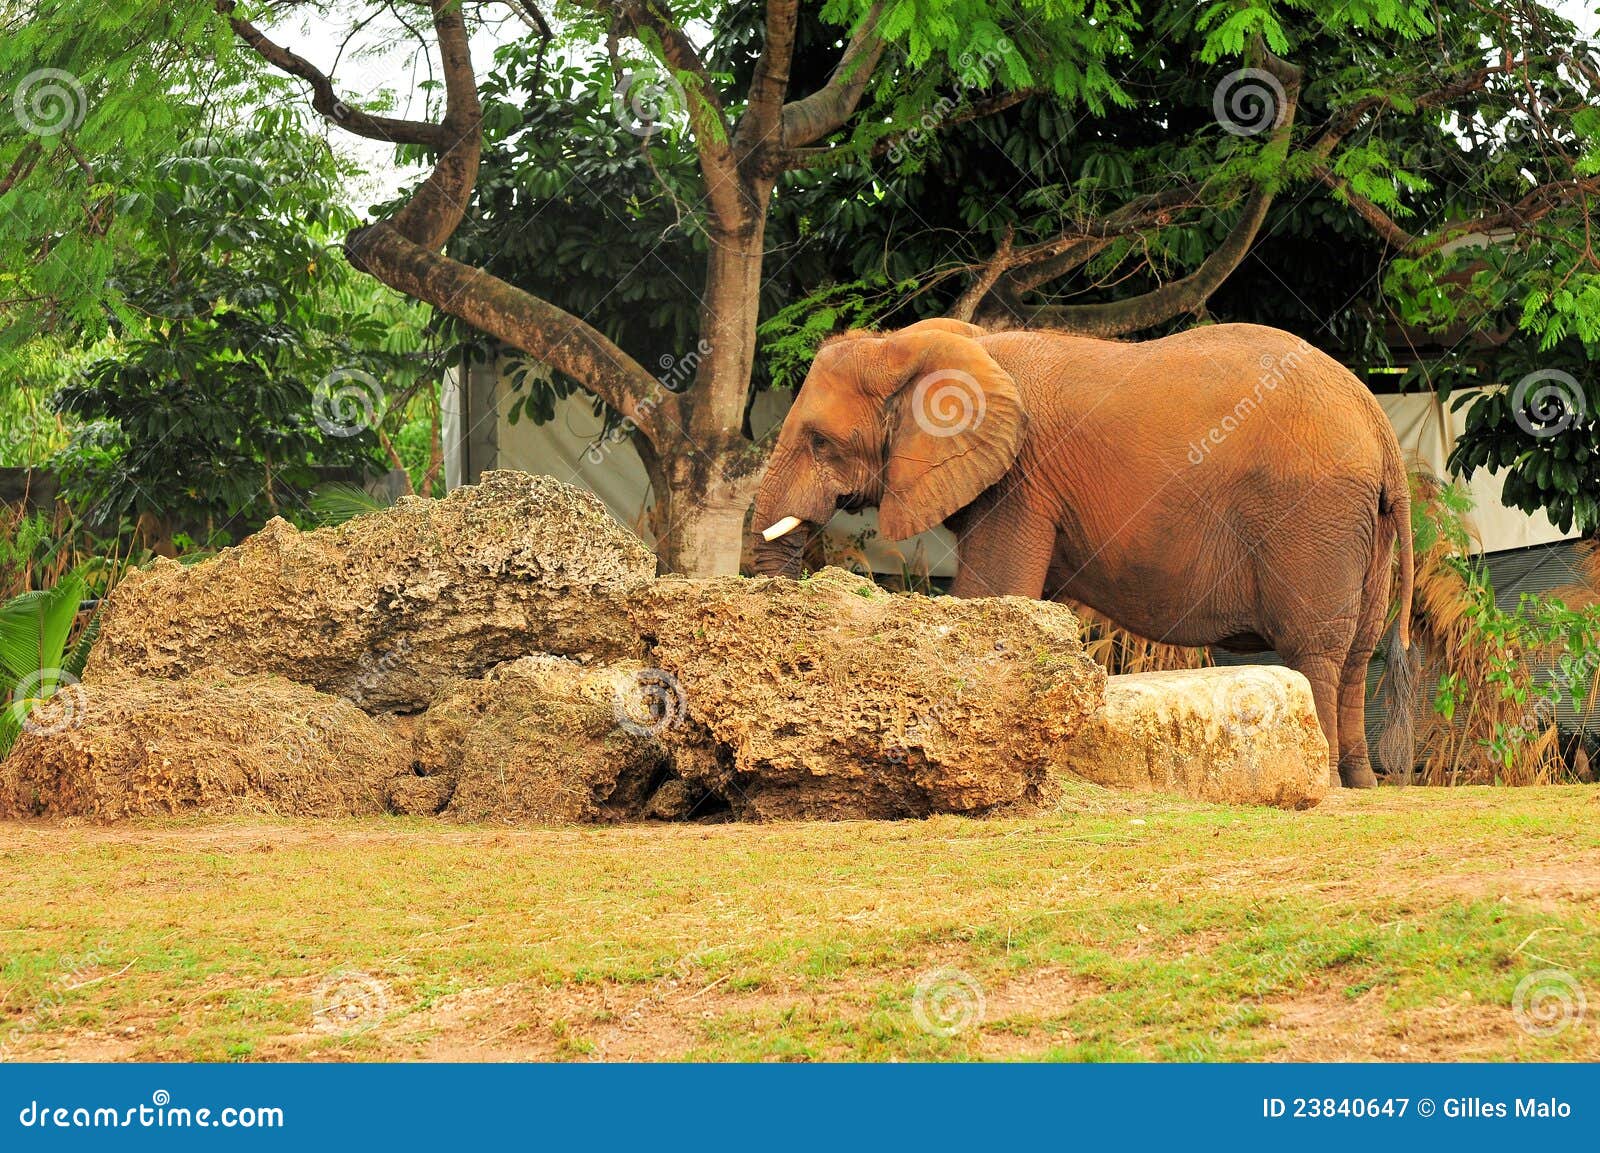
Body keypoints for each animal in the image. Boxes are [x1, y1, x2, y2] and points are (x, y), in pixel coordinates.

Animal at [751, 319, 1415, 787]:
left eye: (820, 441)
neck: (918, 345)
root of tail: (1380, 427)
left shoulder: (1022, 480)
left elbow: (991, 595)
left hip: (1312, 513)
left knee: (1315, 648)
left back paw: (1326, 779)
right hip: (1360, 525)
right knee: (1358, 651)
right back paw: (1360, 782)